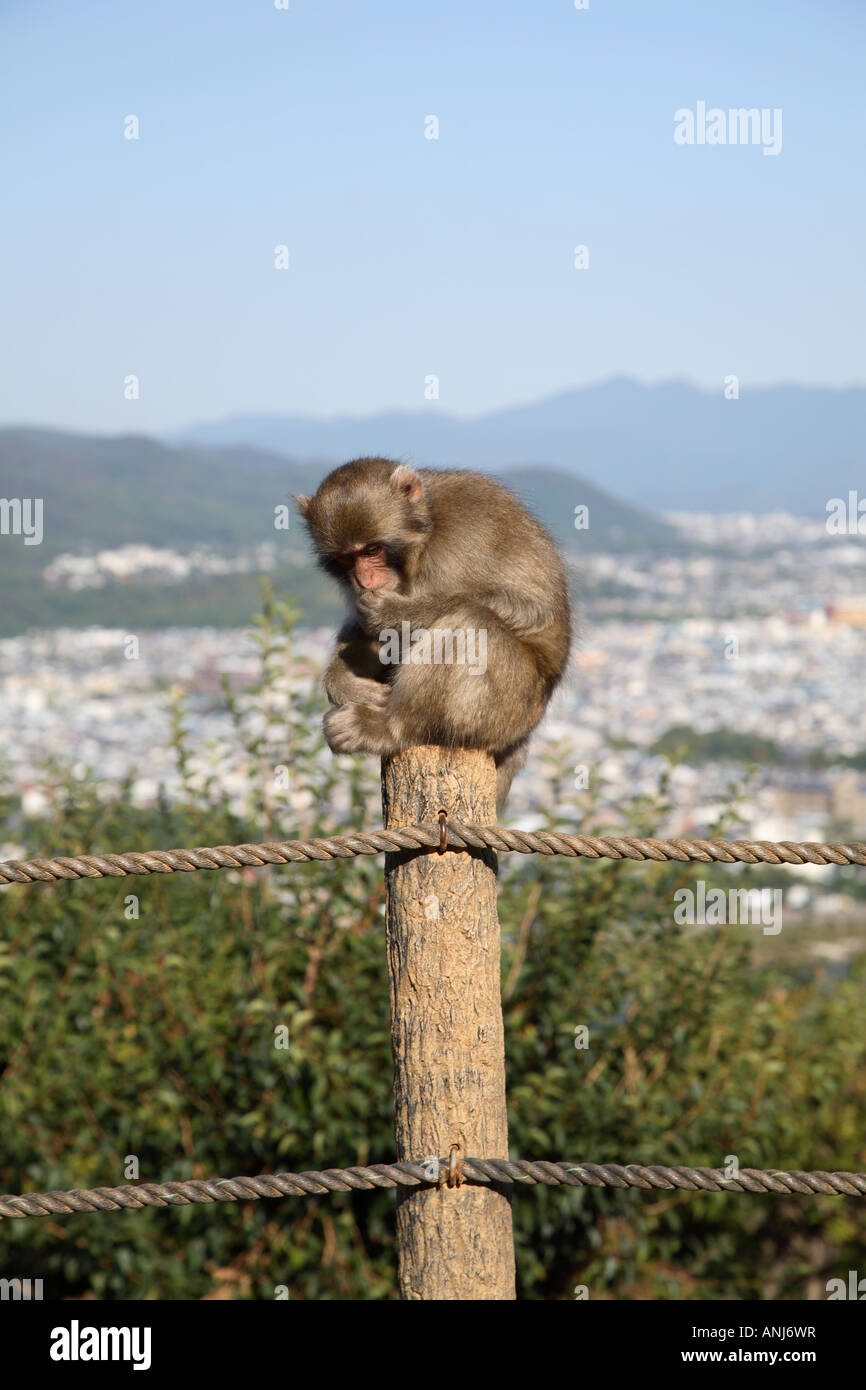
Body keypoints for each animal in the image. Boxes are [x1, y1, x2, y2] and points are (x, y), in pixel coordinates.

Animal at [295, 457, 572, 810]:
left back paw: (391, 727)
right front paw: (343, 682)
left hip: (512, 709)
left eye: (372, 550)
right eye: (346, 558)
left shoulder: (470, 531)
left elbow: (533, 606)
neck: (427, 533)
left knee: (471, 623)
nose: (365, 580)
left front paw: (397, 614)